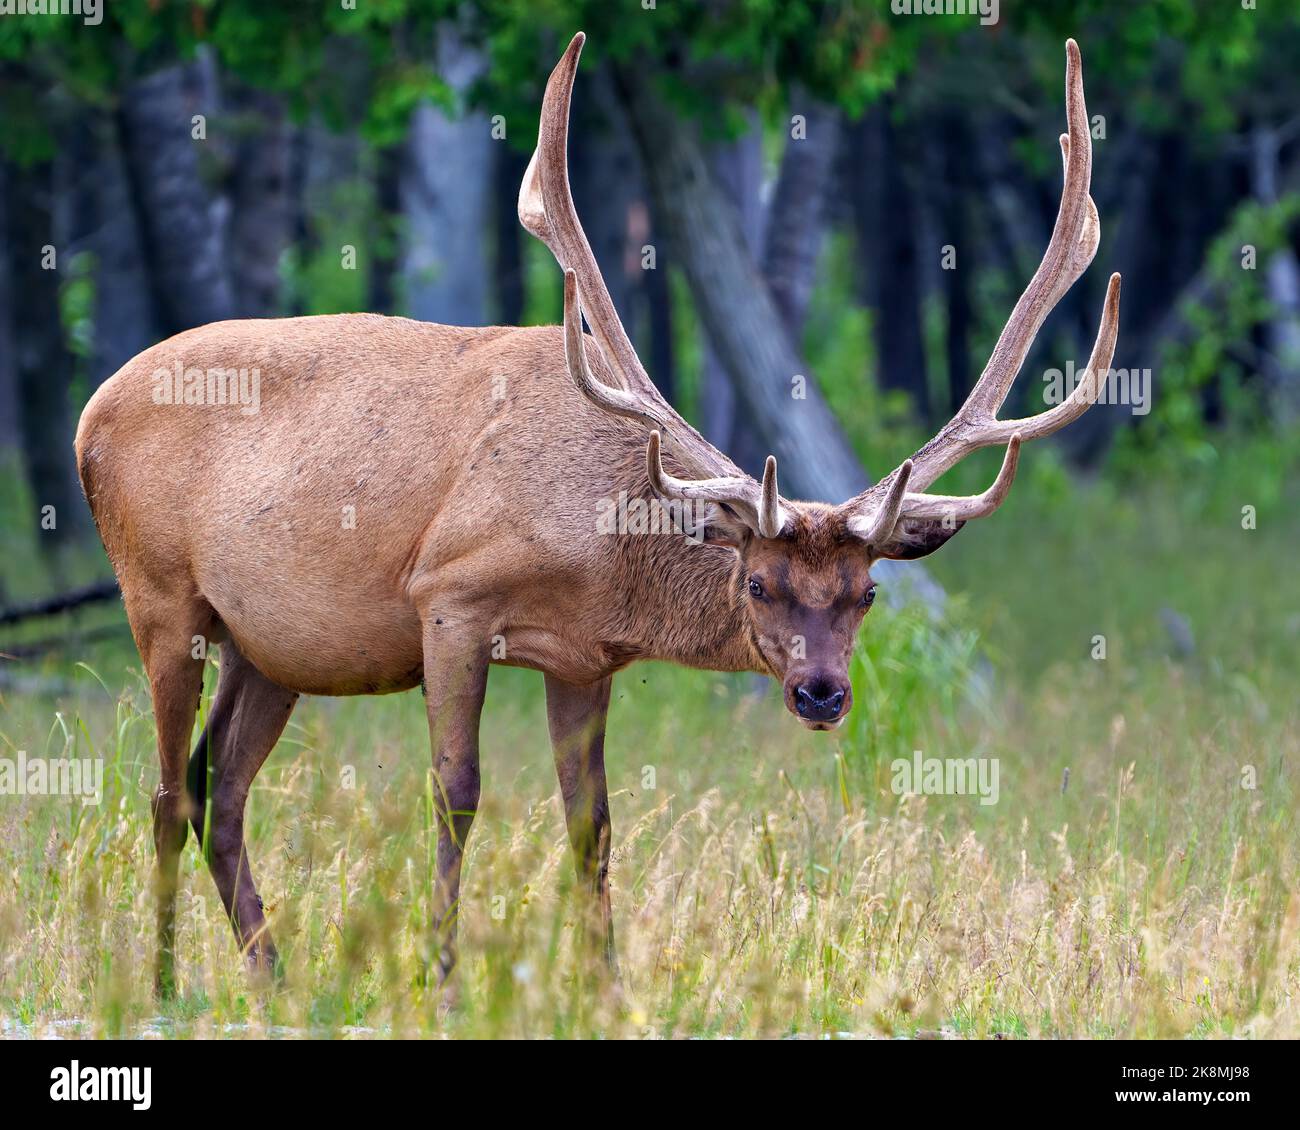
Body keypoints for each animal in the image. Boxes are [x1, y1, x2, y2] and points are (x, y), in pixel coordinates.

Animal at [75, 32, 1120, 996]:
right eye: (759, 582)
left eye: (865, 592)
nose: (823, 693)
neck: (605, 550)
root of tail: (89, 412)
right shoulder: (448, 597)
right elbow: (456, 792)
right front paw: (440, 975)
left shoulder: (582, 660)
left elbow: (593, 824)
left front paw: (606, 984)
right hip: (159, 598)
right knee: (167, 793)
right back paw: (162, 986)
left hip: (270, 646)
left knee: (219, 789)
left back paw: (273, 975)